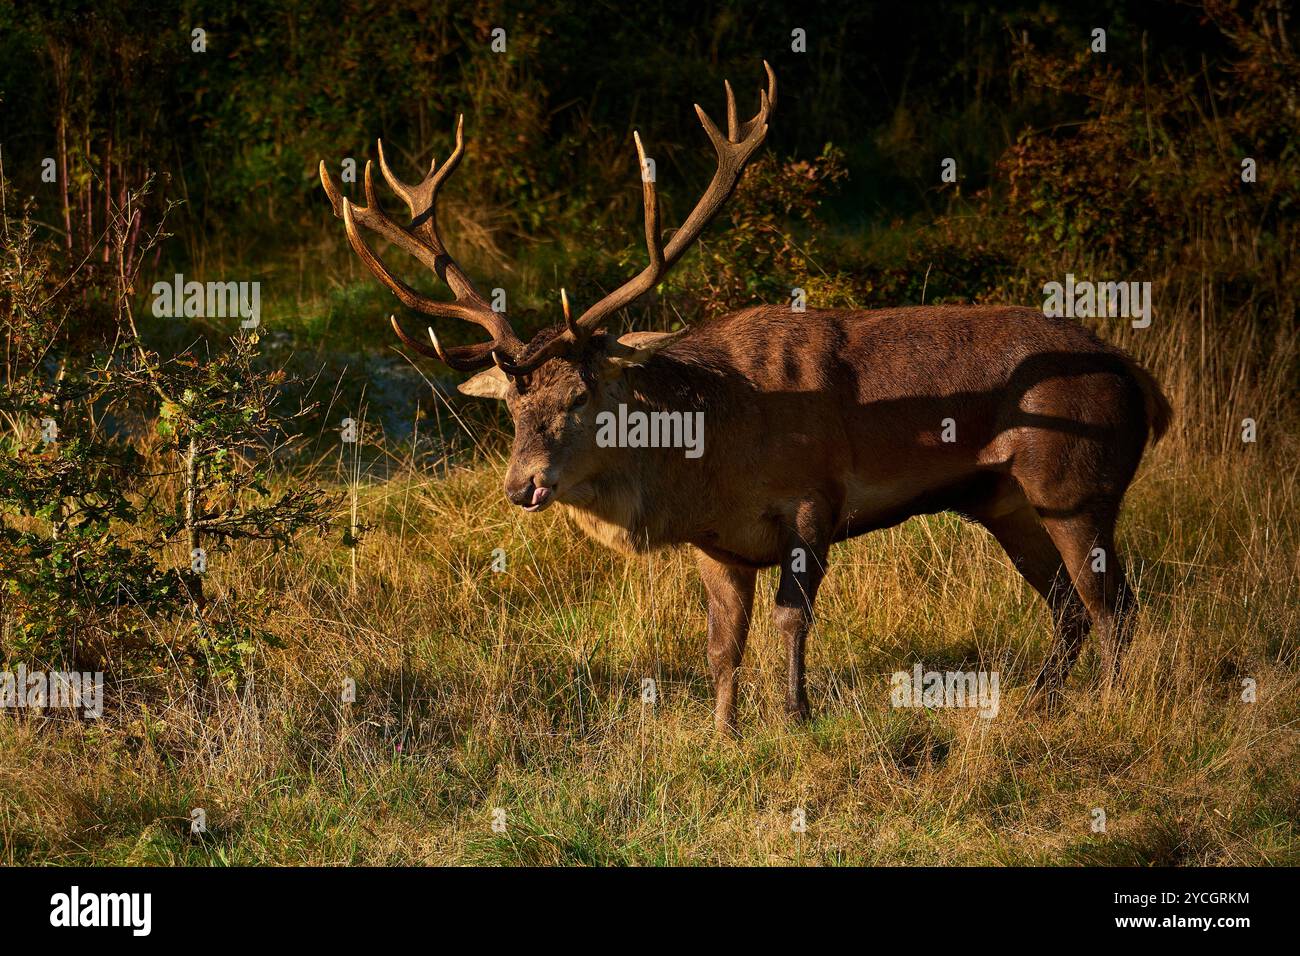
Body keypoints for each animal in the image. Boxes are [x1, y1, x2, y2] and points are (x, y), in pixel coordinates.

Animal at [319, 62, 1172, 733]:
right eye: (512, 405)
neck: (708, 458)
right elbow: (721, 641)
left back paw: (1113, 709)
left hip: (1077, 483)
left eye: (586, 395)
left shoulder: (813, 500)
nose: (521, 483)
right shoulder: (718, 544)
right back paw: (1038, 703)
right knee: (1068, 607)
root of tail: (1139, 380)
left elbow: (793, 619)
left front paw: (795, 717)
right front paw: (724, 730)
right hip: (1005, 499)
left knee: (1115, 608)